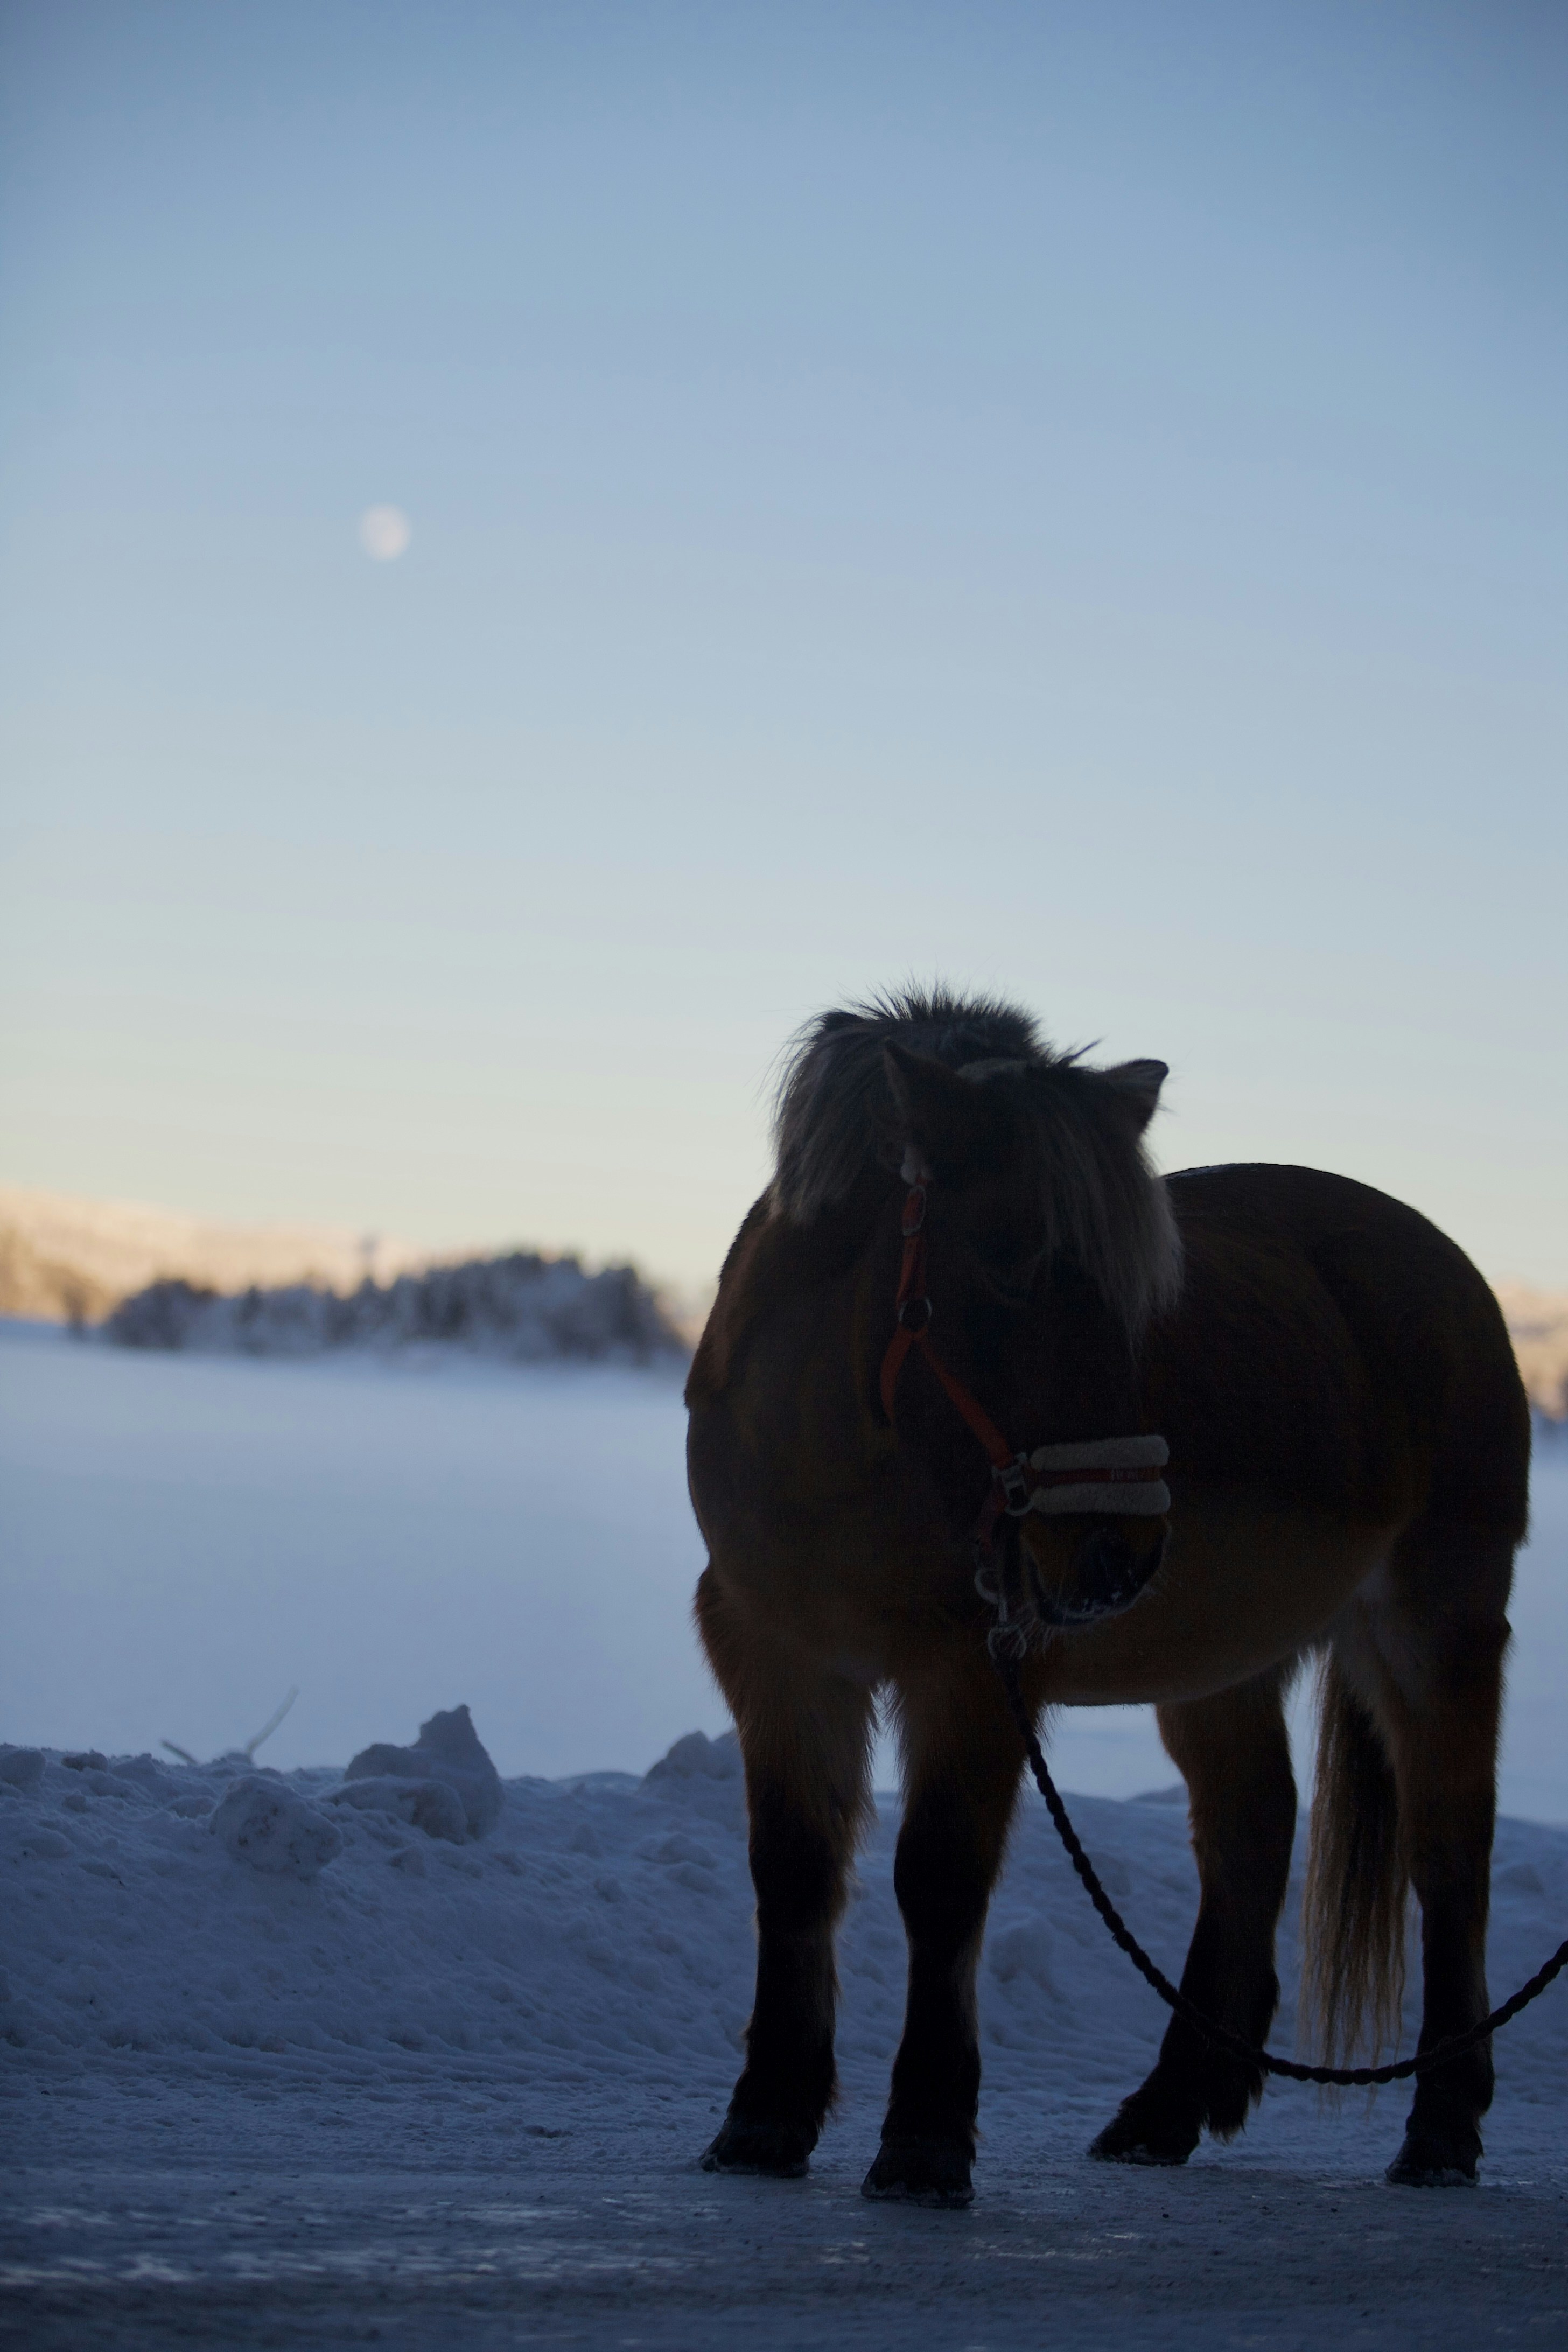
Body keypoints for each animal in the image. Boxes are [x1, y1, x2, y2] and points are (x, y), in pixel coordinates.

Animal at [685, 989, 1530, 2206]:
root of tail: (1443, 1267)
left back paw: (1441, 2129)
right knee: (1250, 1830)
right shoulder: (777, 1655)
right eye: (1006, 1265)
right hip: (1220, 1659)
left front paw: (925, 2137)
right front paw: (764, 2117)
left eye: (1136, 1299)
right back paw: (1168, 2106)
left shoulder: (975, 1667)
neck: (842, 1453)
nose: (1118, 1555)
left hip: (1436, 1623)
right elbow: (795, 1871)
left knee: (1449, 1851)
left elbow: (939, 1879)